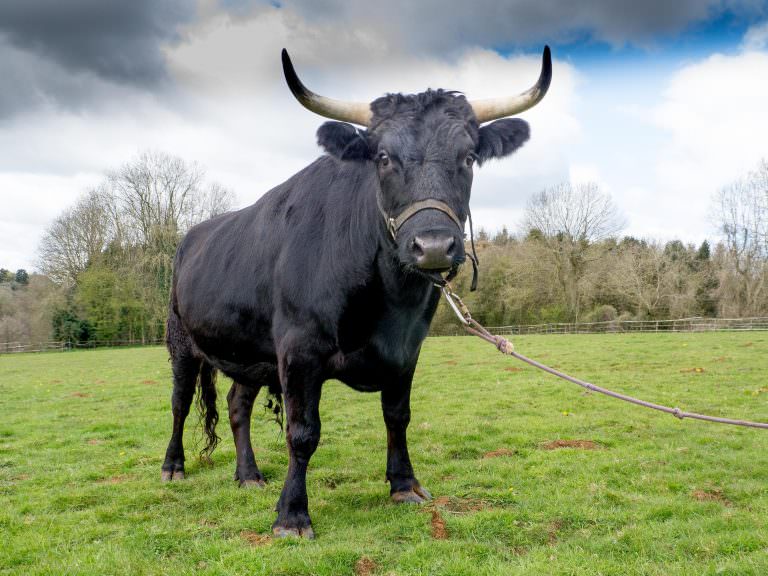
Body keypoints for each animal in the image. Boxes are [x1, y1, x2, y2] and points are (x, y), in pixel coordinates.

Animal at [161, 47, 551, 538]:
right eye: (383, 158)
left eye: (468, 157)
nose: (433, 246)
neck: (387, 304)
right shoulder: (299, 350)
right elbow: (302, 433)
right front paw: (291, 514)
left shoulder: (407, 350)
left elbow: (397, 416)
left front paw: (403, 484)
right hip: (181, 342)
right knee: (179, 403)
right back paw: (173, 466)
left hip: (248, 354)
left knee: (237, 406)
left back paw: (248, 474)